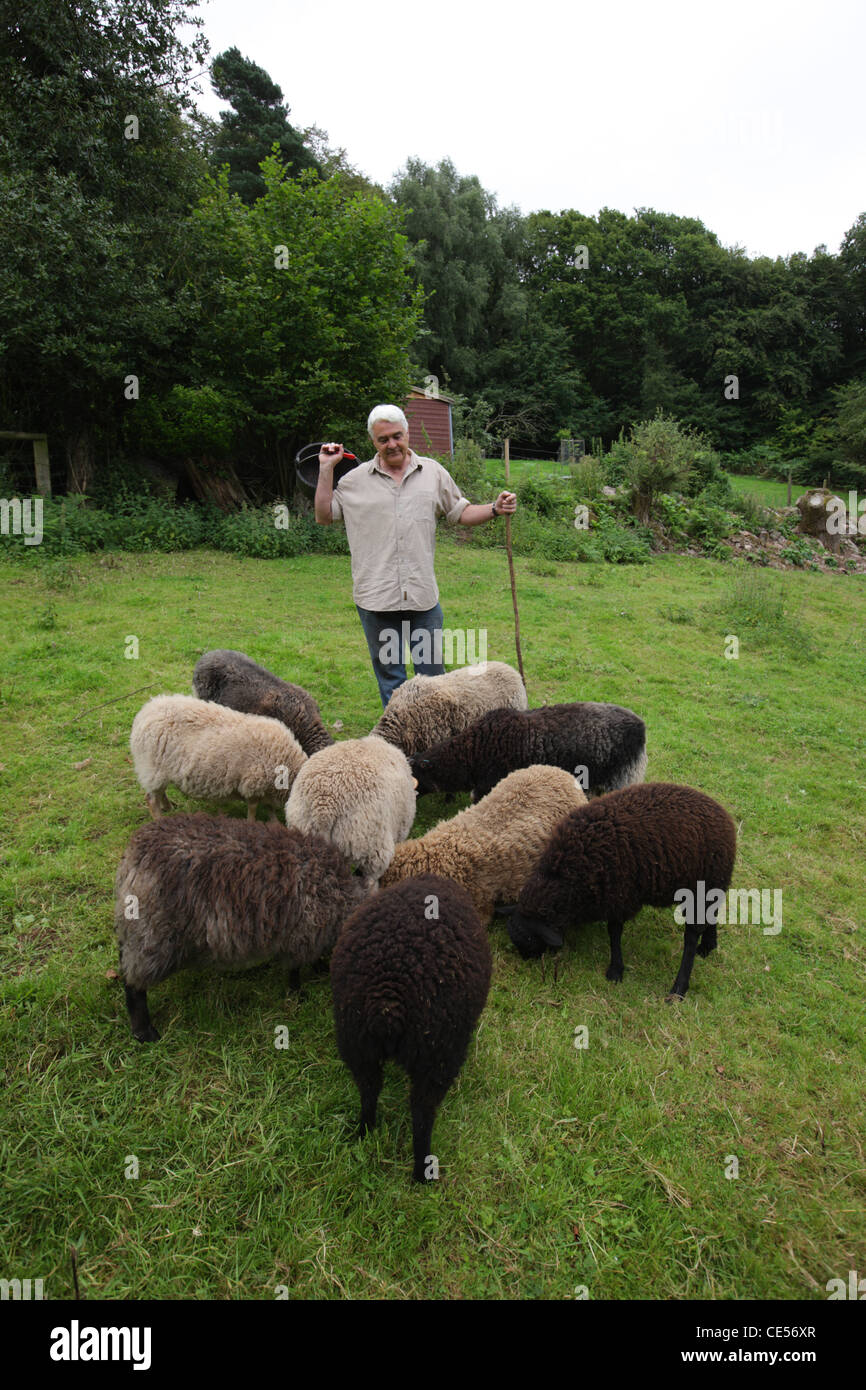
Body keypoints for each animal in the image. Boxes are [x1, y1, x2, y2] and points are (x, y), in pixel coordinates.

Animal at [115, 814, 368, 1041]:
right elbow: (294, 970)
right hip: (154, 934)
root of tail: (132, 857)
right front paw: (299, 993)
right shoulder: (302, 933)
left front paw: (319, 969)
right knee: (133, 983)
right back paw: (144, 1032)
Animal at [130, 694, 307, 821]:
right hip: (152, 767)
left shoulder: (267, 789)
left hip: (159, 771)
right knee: (151, 799)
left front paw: (274, 823)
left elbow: (269, 808)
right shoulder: (253, 784)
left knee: (160, 791)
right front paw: (252, 822)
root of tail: (145, 712)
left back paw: (168, 807)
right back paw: (160, 819)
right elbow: (253, 808)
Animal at [331, 874, 491, 1183]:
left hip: (356, 1043)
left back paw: (364, 1131)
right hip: (437, 1054)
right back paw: (423, 1171)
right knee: (422, 1113)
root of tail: (388, 1005)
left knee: (368, 1091)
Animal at [500, 782, 737, 1001]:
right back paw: (708, 946)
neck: (562, 878)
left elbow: (614, 932)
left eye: (530, 939)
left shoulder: (619, 895)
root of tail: (724, 816)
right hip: (711, 886)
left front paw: (615, 970)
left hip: (703, 886)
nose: (526, 961)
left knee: (691, 936)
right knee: (712, 914)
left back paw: (679, 987)